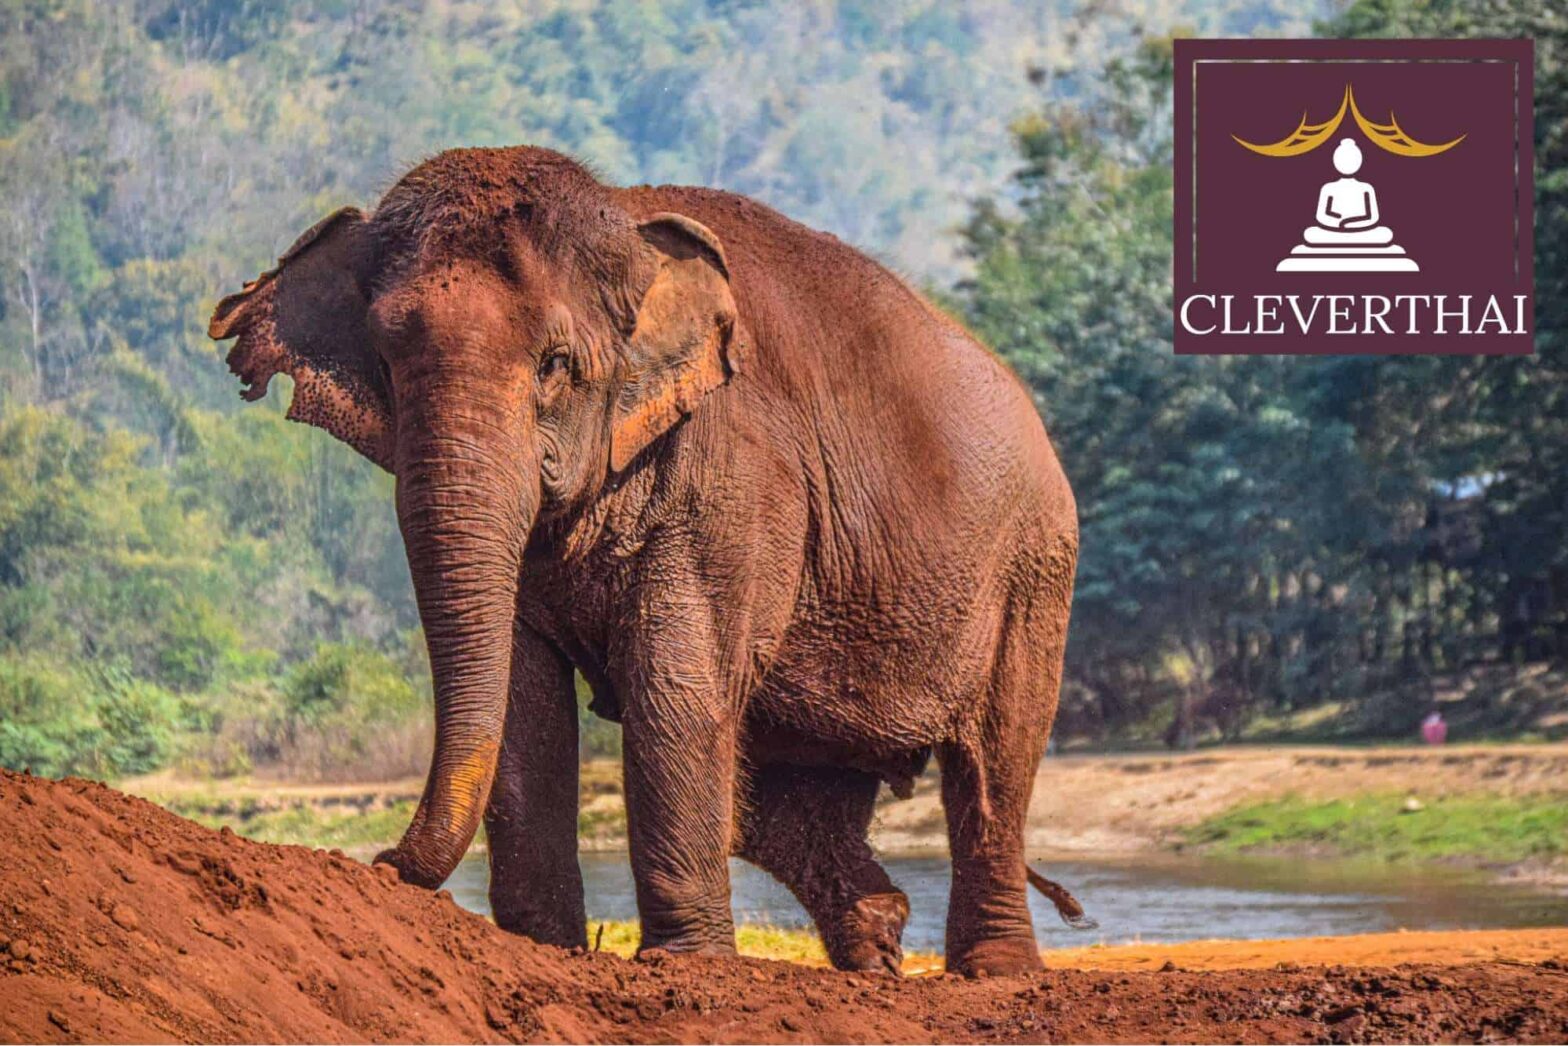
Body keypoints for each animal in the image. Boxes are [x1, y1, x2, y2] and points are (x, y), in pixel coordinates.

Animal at [209, 146, 1082, 977]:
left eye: (554, 365)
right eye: (385, 363)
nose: (380, 862)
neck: (623, 222)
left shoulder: (737, 475)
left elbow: (675, 683)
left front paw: (686, 964)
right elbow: (526, 695)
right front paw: (547, 947)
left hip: (1034, 567)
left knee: (994, 762)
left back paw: (995, 970)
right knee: (786, 802)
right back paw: (878, 947)